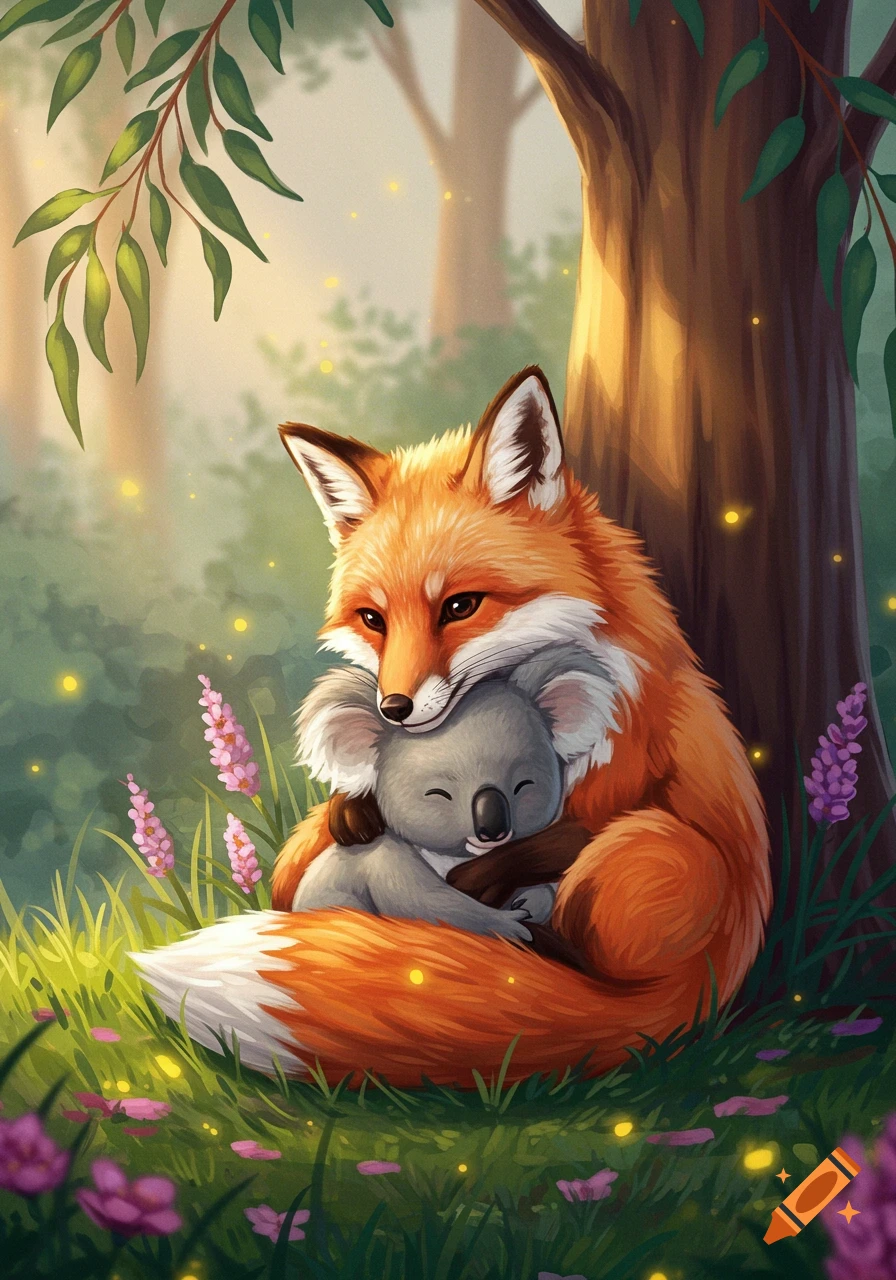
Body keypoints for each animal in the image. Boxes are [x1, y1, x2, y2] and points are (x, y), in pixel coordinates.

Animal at [136, 367, 771, 1088]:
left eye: (460, 606)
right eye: (374, 620)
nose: (392, 707)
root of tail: (701, 991)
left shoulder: (611, 774)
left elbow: (547, 840)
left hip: (646, 856)